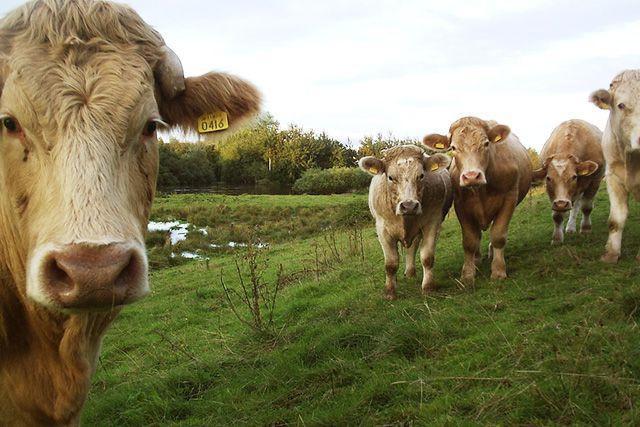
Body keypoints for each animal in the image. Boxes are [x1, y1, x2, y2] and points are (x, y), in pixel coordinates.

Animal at [358, 145, 452, 300]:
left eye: (421, 175)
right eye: (390, 177)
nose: (409, 206)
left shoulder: (432, 223)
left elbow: (427, 257)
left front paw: (428, 287)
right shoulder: (383, 230)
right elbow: (391, 263)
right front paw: (390, 291)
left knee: (412, 248)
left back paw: (410, 272)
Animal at [422, 116, 532, 288]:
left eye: (486, 143)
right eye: (453, 147)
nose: (472, 176)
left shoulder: (510, 198)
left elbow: (498, 235)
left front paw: (498, 271)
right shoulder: (461, 205)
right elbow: (469, 241)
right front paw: (467, 274)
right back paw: (477, 259)